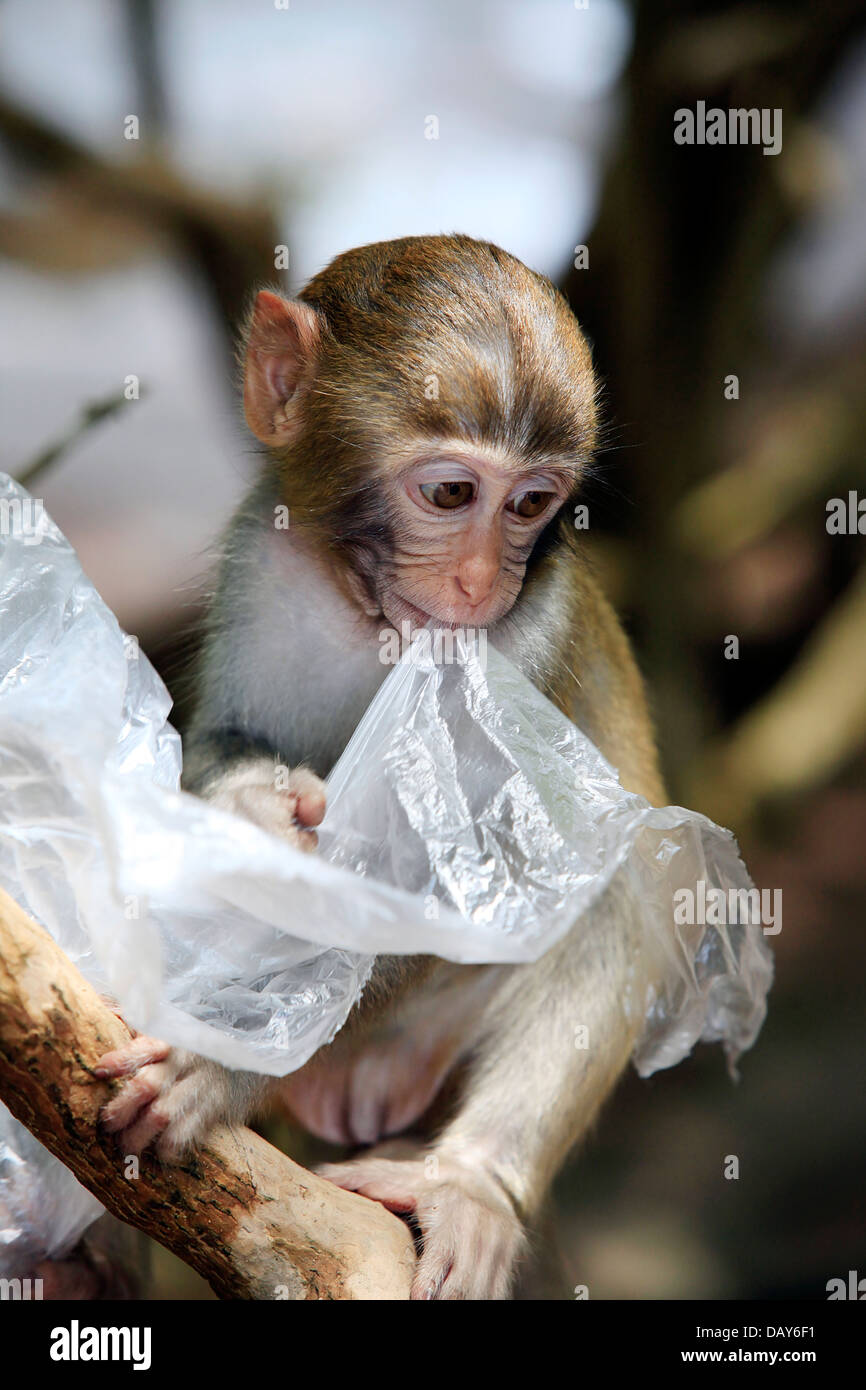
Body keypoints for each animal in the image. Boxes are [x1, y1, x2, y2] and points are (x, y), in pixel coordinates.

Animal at [95, 234, 667, 1301]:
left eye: (533, 504)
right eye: (450, 494)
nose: (481, 583)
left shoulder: (522, 648)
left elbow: (457, 885)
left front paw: (224, 1069)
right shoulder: (263, 551)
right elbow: (226, 733)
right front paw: (252, 803)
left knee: (617, 892)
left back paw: (474, 1186)